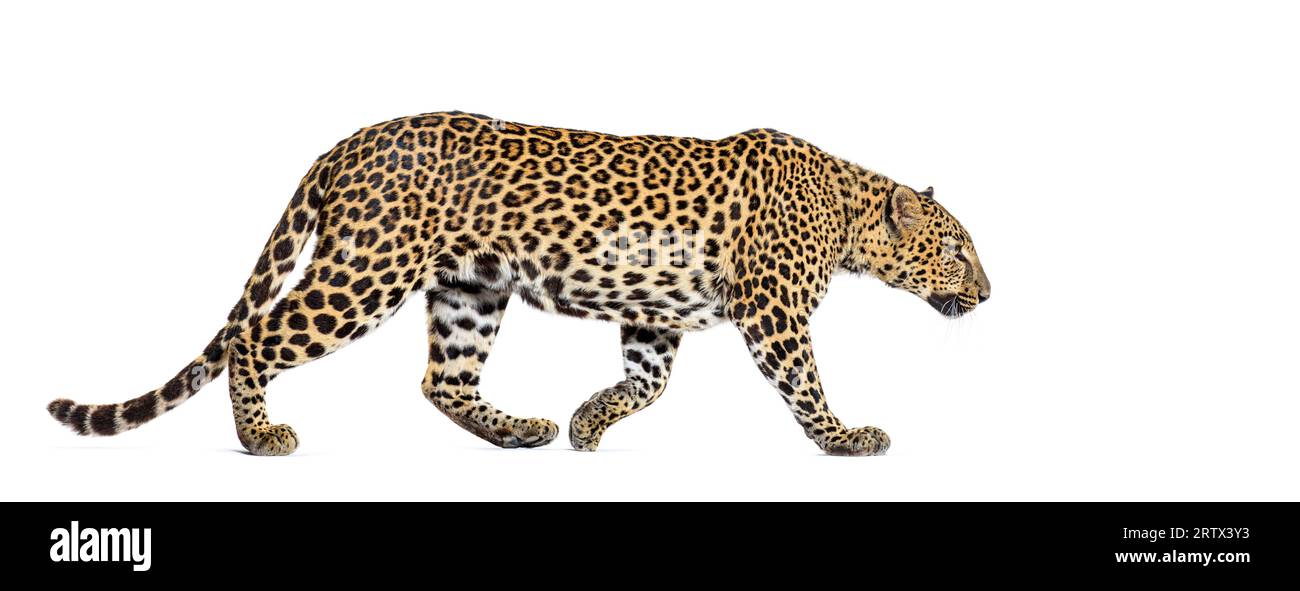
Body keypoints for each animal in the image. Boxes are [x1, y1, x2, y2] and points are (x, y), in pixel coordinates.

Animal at [47, 111, 991, 456]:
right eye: (958, 250)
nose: (987, 295)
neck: (847, 211)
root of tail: (344, 143)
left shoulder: (656, 314)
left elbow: (647, 382)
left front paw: (588, 422)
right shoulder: (773, 310)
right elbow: (805, 382)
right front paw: (846, 437)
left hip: (470, 289)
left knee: (444, 380)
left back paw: (520, 430)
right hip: (365, 270)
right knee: (253, 334)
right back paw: (260, 436)